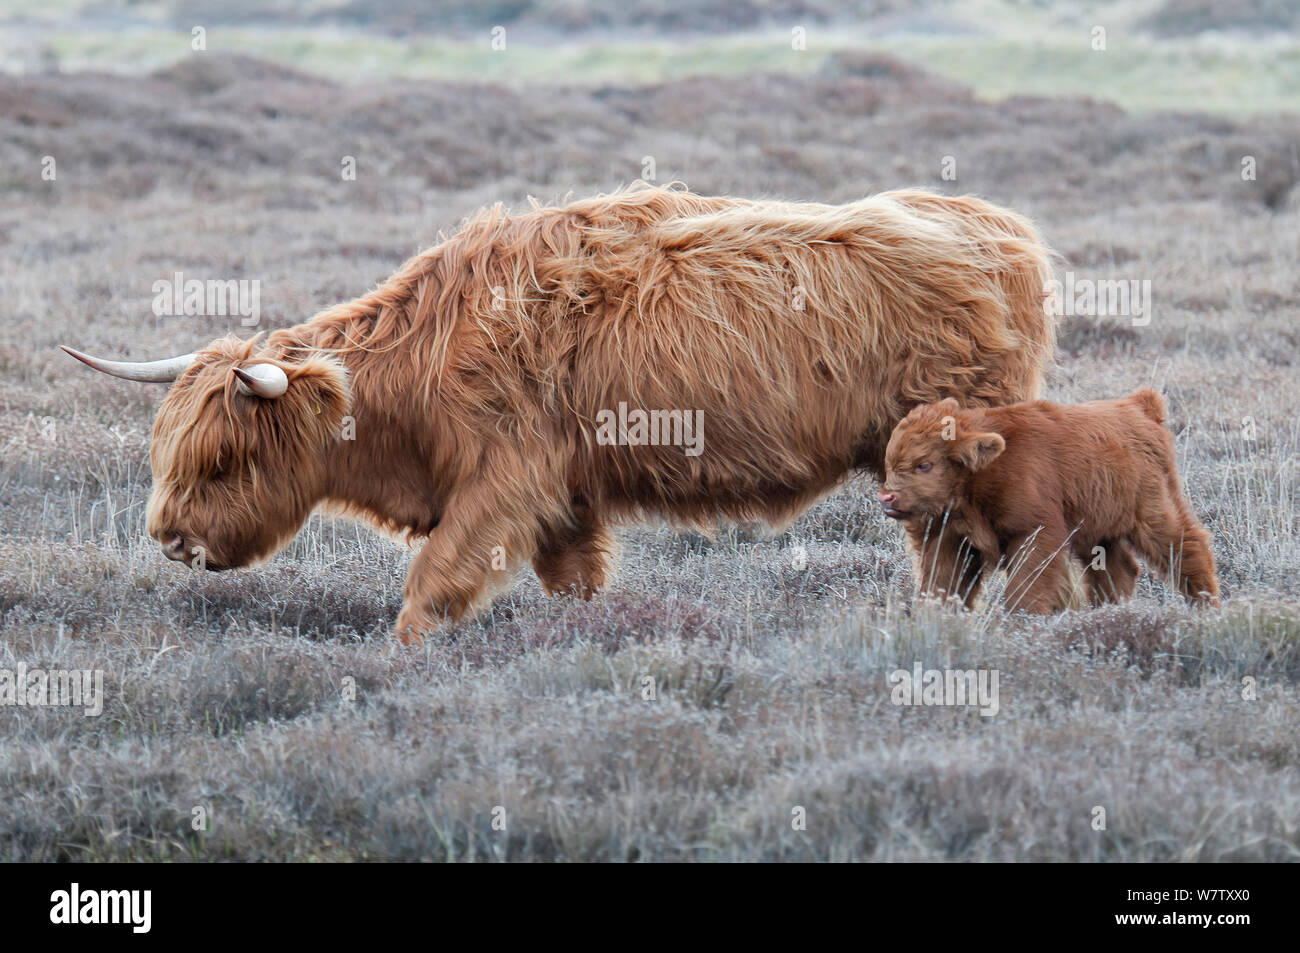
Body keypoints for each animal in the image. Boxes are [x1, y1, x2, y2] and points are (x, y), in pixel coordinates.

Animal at [62, 182, 1055, 642]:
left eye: (223, 459)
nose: (171, 540)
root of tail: (997, 228)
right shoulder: (567, 500)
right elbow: (575, 582)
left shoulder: (504, 483)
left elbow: (431, 587)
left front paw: (398, 657)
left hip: (939, 470)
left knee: (955, 554)